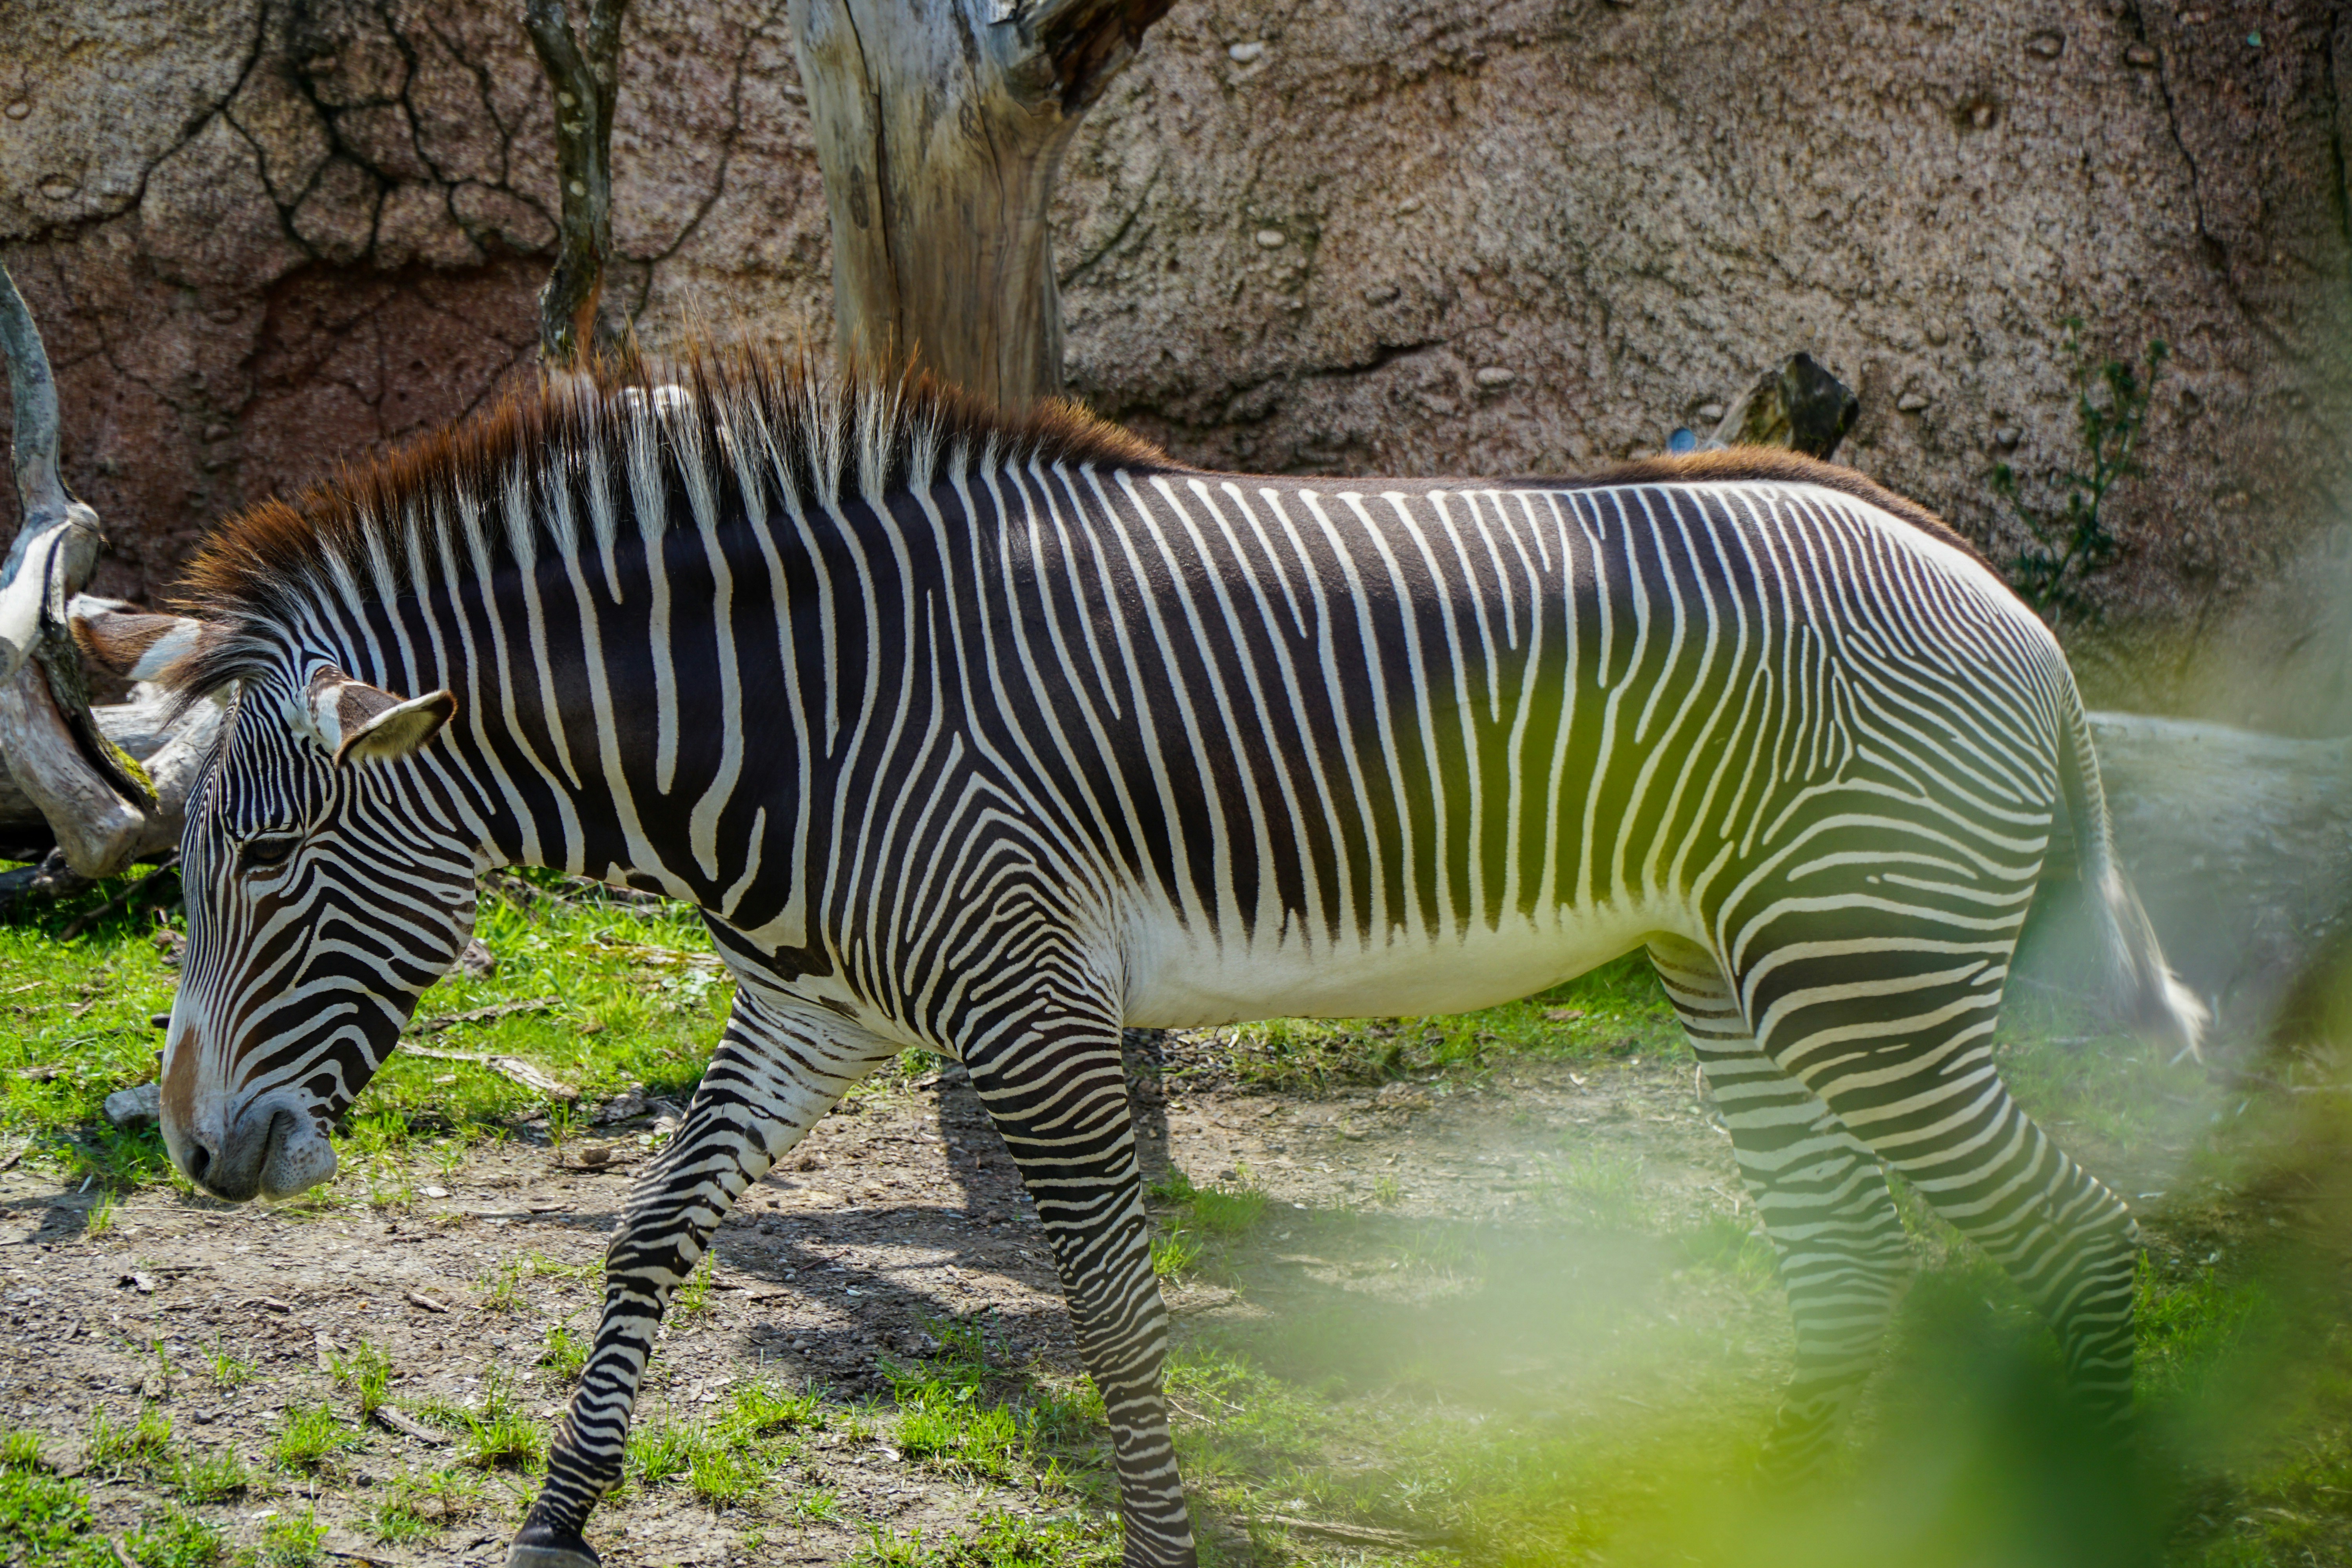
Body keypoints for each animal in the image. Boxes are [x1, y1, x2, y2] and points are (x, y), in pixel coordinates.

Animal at [75, 351, 2203, 1568]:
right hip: (1730, 968)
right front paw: (553, 1522)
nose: (192, 1157)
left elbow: (1109, 1300)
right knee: (1846, 1260)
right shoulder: (813, 1003)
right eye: (189, 861)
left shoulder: (1026, 1000)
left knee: (2074, 1231)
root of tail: (2002, 602)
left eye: (266, 858)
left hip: (1860, 975)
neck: (796, 710)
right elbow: (653, 1232)